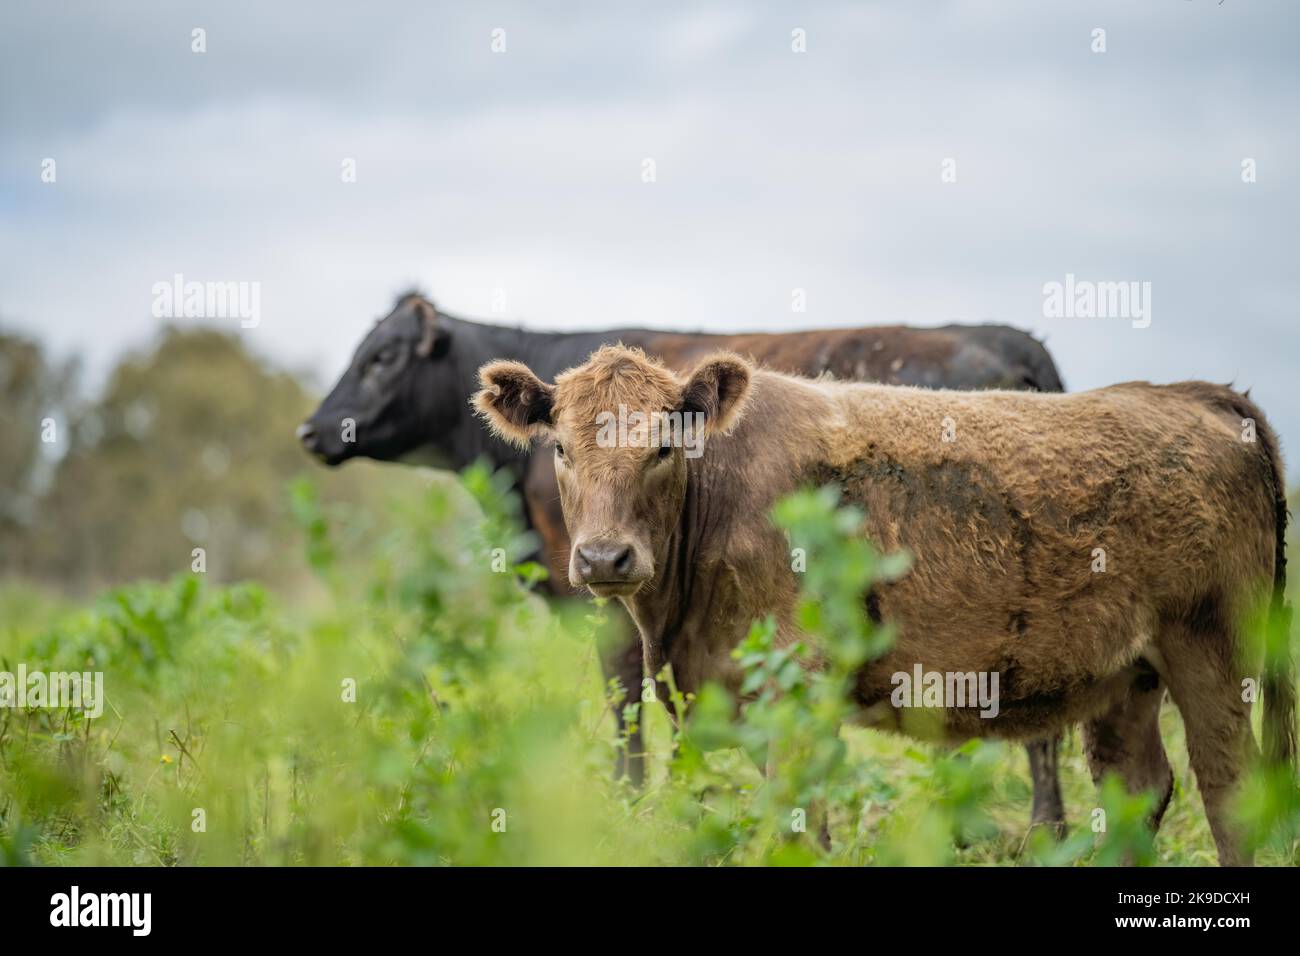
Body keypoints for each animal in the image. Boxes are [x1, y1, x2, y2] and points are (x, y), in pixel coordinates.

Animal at [299, 292, 1068, 827]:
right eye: (560, 445)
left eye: (382, 357)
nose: (312, 430)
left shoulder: (606, 604)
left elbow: (624, 704)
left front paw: (630, 802)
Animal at [473, 344, 1295, 865]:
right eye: (561, 448)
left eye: (665, 447)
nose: (603, 558)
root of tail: (1195, 394)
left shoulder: (795, 692)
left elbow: (799, 825)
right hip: (1126, 677)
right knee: (1136, 791)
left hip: (1213, 653)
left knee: (1231, 794)